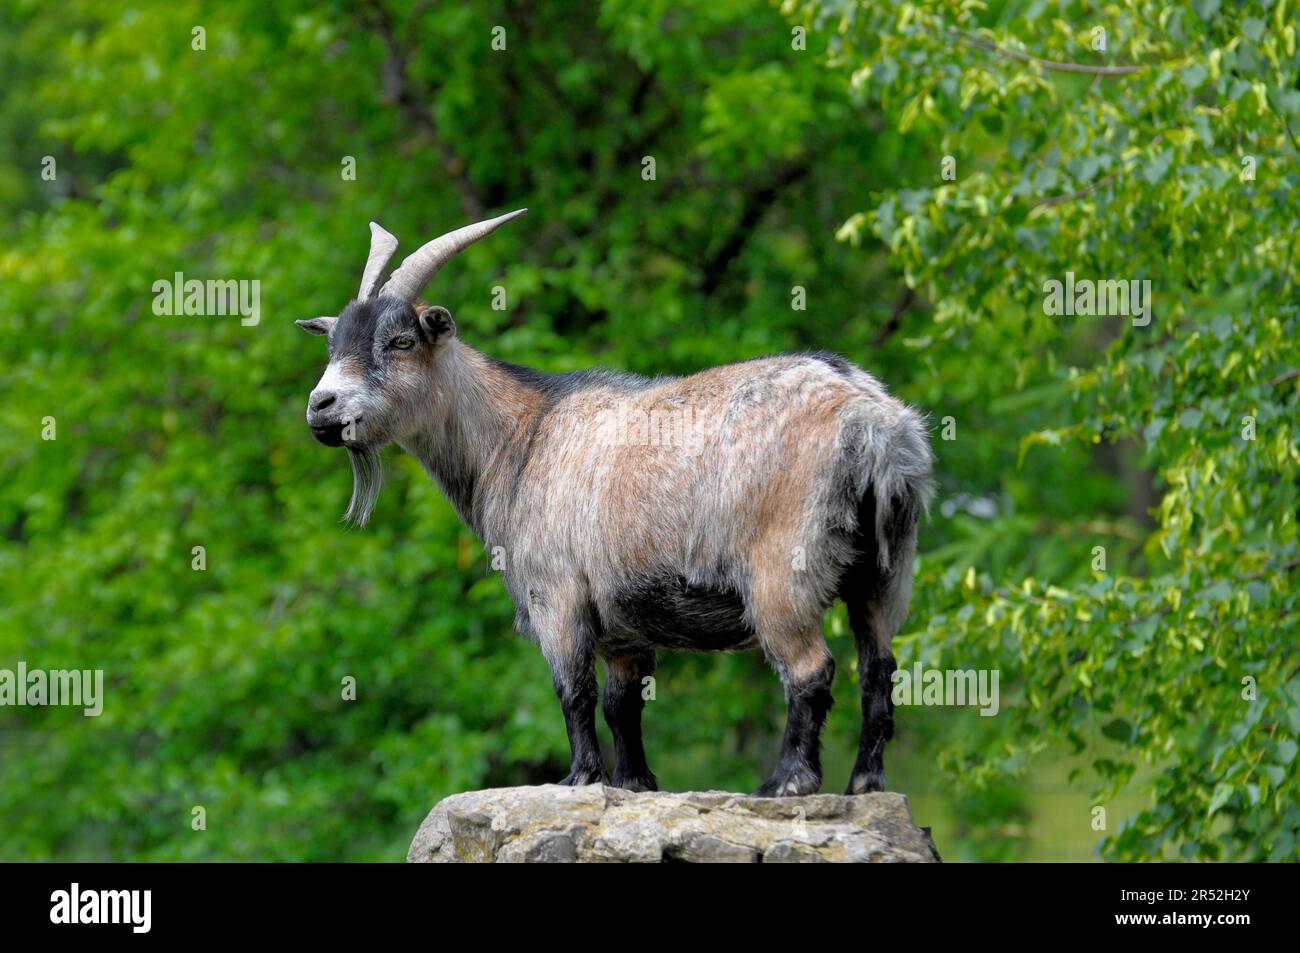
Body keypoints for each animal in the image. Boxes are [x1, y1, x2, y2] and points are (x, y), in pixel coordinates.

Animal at [296, 211, 934, 796]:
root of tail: (873, 421)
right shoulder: (624, 623)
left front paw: (580, 777)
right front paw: (634, 782)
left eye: (401, 341)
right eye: (332, 343)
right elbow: (622, 704)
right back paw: (864, 782)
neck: (523, 435)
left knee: (810, 669)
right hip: (885, 570)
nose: (321, 407)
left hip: (783, 568)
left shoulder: (556, 593)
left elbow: (573, 691)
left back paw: (787, 783)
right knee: (879, 670)